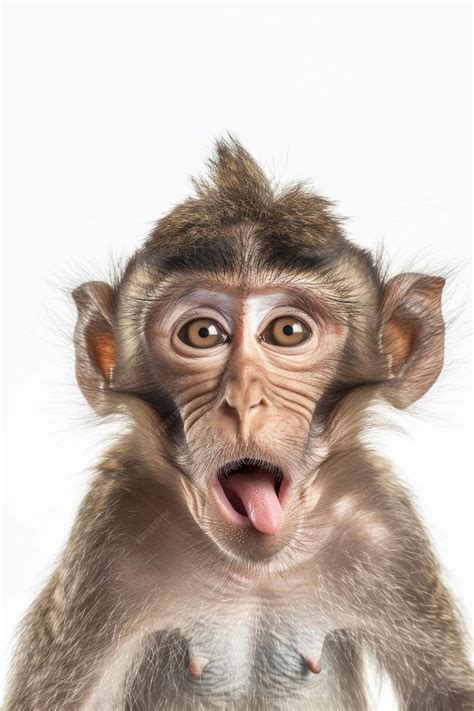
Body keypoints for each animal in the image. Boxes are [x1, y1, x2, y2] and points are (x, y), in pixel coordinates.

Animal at [4, 138, 473, 711]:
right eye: (203, 333)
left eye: (288, 331)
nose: (244, 399)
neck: (253, 573)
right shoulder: (110, 534)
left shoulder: (385, 531)